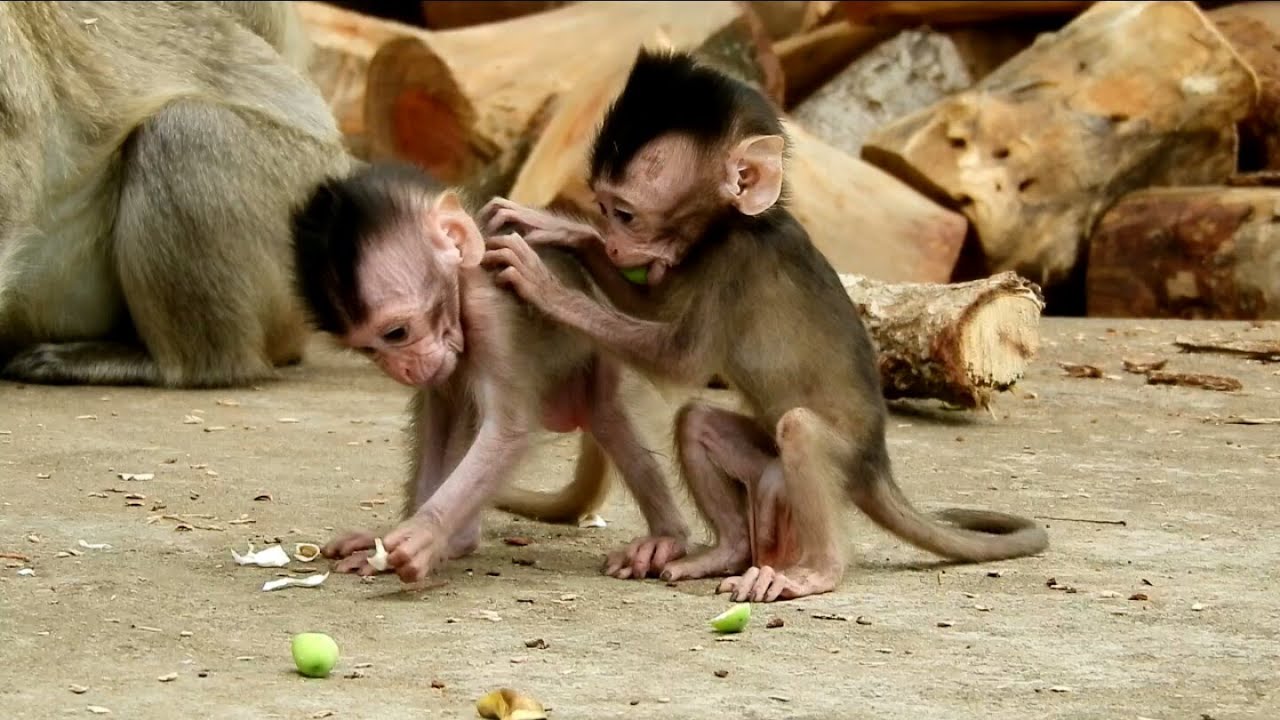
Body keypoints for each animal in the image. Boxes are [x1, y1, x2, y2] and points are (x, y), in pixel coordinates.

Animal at [289, 161, 689, 583]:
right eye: (369, 350)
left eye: (396, 333)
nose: (405, 369)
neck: (466, 283)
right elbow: (440, 407)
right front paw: (394, 536)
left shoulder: (490, 315)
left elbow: (506, 431)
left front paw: (425, 532)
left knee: (608, 413)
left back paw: (667, 536)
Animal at [479, 49, 1049, 603]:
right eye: (602, 209)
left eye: (625, 214)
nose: (616, 245)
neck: (736, 225)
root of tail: (876, 463)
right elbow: (652, 309)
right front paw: (558, 229)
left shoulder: (735, 263)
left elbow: (680, 360)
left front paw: (542, 284)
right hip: (767, 467)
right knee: (698, 423)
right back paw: (726, 551)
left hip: (841, 460)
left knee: (799, 430)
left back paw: (815, 572)